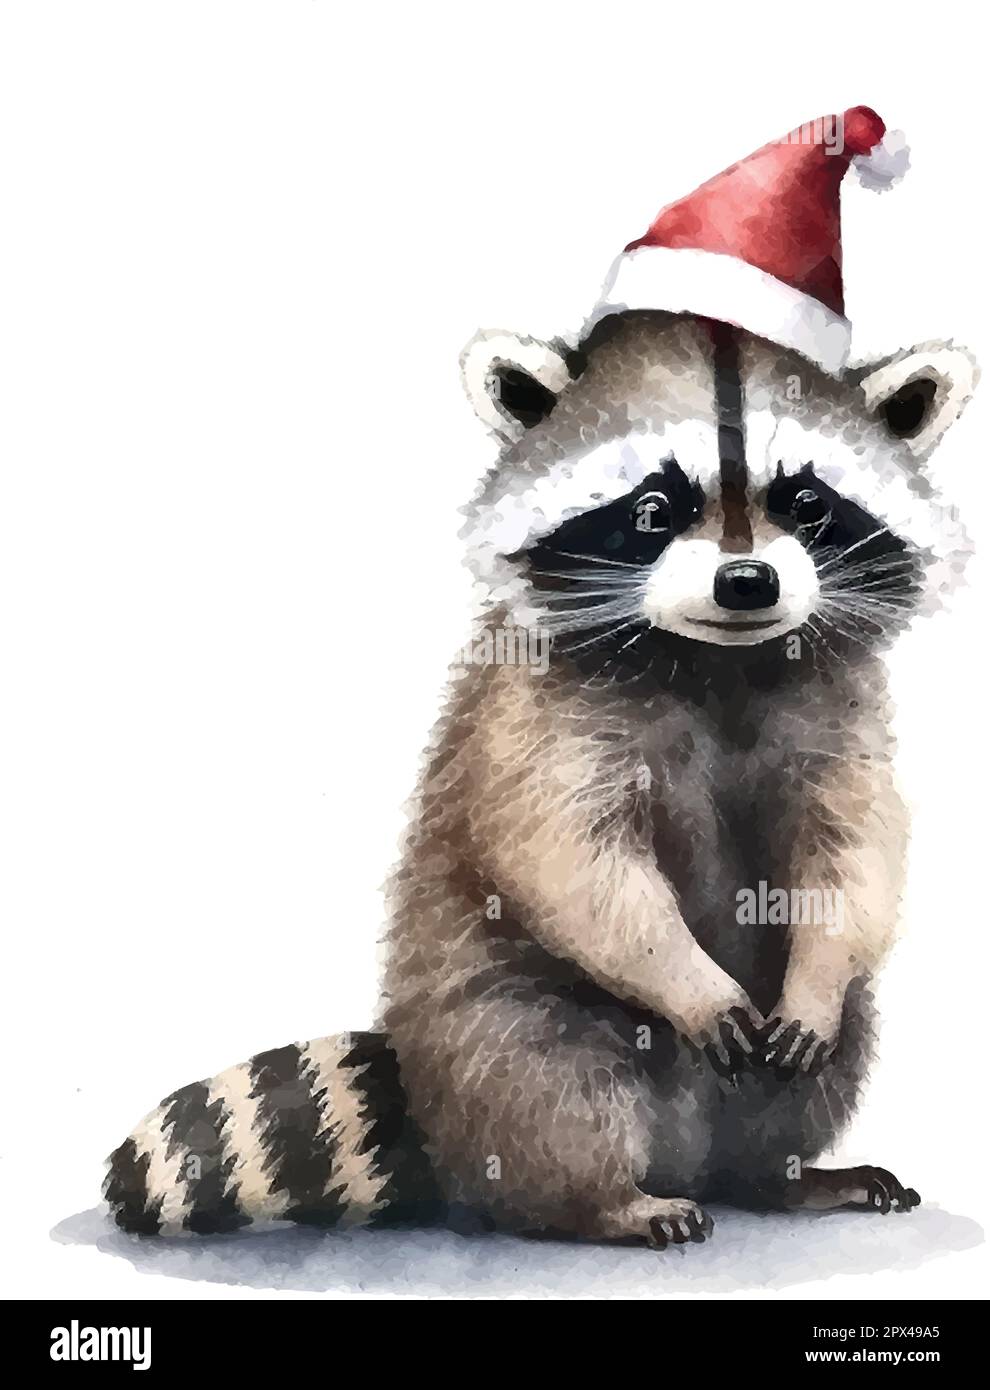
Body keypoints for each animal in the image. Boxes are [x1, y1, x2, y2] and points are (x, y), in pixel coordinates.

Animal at [106, 308, 976, 1245]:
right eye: (654, 508)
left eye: (808, 502)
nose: (746, 581)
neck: (720, 662)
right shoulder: (541, 713)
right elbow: (572, 859)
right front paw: (691, 983)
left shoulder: (836, 713)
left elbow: (855, 845)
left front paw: (818, 976)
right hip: (501, 1027)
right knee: (548, 1089)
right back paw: (604, 1201)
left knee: (838, 1048)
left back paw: (779, 1175)